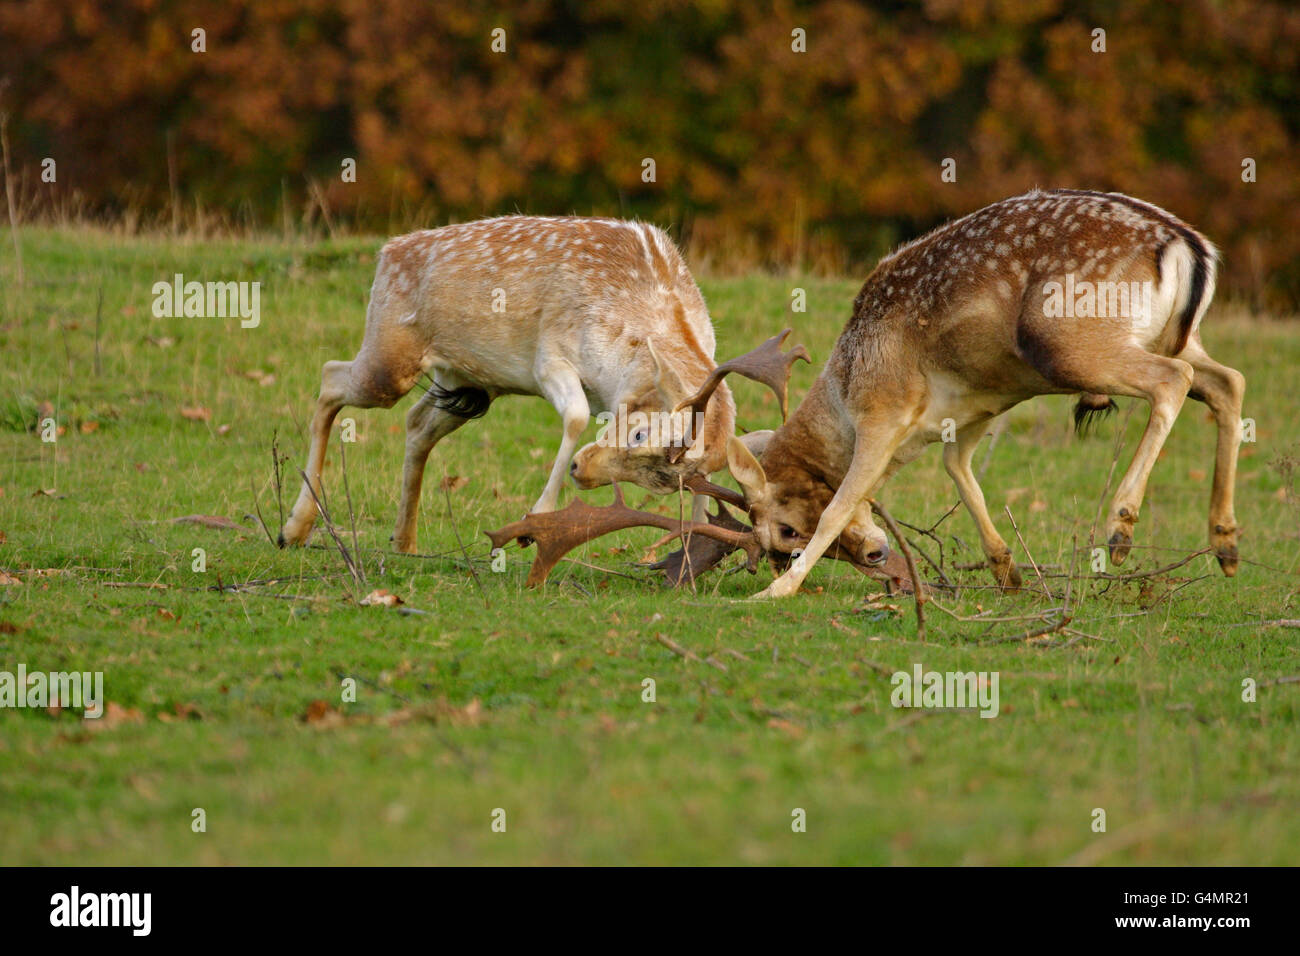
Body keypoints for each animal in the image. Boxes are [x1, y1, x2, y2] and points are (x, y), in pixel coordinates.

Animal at [277, 215, 792, 554]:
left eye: (668, 483)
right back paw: (293, 529)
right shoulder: (550, 355)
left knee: (417, 422)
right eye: (641, 433)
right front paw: (534, 520)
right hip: (389, 356)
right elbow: (578, 416)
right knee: (330, 375)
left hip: (467, 383)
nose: (582, 471)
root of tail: (388, 252)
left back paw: (403, 539)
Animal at [489, 190, 1245, 602]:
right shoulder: (969, 413)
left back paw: (1122, 526)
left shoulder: (886, 411)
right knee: (1226, 381)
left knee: (1175, 383)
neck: (844, 396)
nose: (879, 558)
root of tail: (1190, 246)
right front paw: (1006, 573)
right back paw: (1225, 542)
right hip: (1173, 336)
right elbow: (960, 472)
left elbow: (841, 503)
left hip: (1071, 342)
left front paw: (775, 592)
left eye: (783, 534)